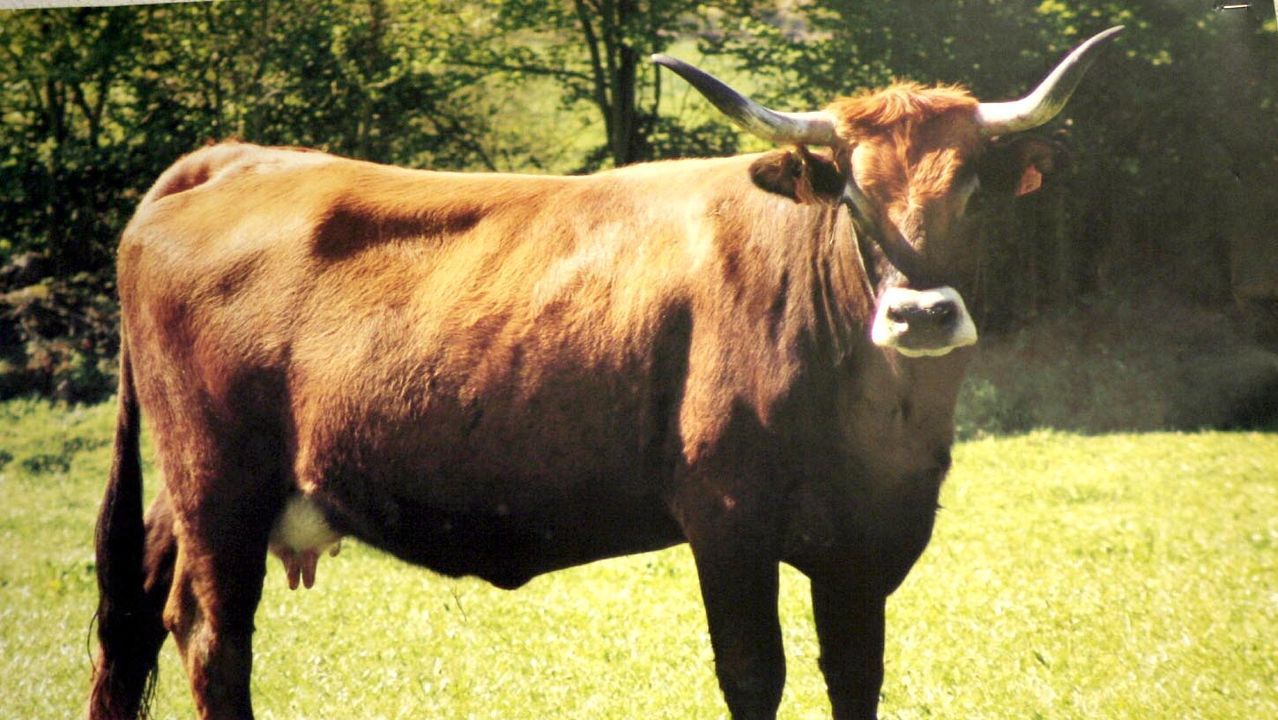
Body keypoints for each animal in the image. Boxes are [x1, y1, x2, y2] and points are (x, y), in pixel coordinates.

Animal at [89, 27, 1123, 720]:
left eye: (976, 189)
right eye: (853, 193)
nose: (920, 315)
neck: (885, 422)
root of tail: (237, 160)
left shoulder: (861, 544)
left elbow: (854, 677)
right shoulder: (728, 522)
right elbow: (755, 675)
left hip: (191, 489)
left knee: (137, 611)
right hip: (218, 483)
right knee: (214, 637)